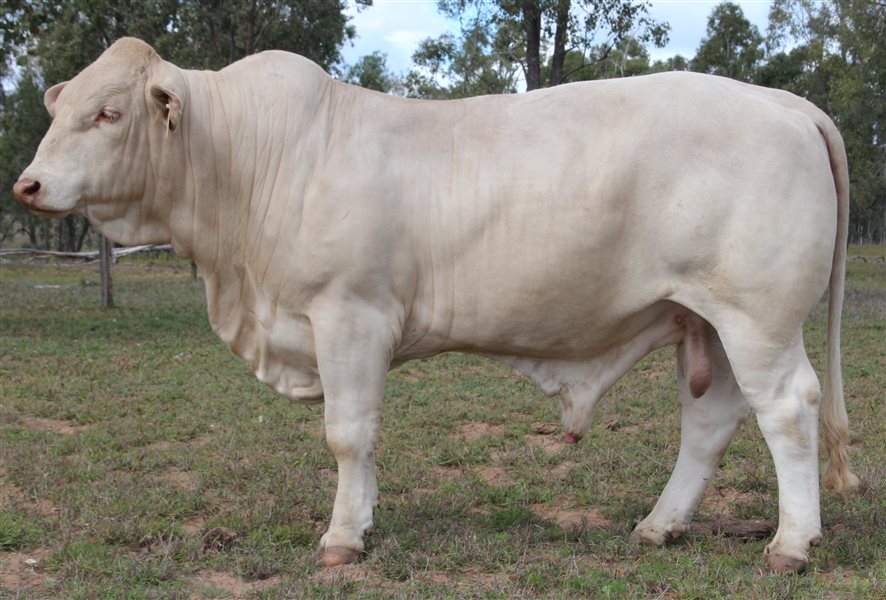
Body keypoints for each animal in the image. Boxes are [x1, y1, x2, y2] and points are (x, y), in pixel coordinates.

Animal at [13, 38, 858, 573]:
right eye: (62, 108)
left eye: (110, 113)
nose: (28, 183)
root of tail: (783, 102)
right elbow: (362, 442)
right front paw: (363, 520)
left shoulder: (349, 316)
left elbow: (348, 434)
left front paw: (342, 538)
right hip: (709, 321)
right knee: (711, 421)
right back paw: (659, 527)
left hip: (758, 319)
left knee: (789, 411)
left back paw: (790, 546)